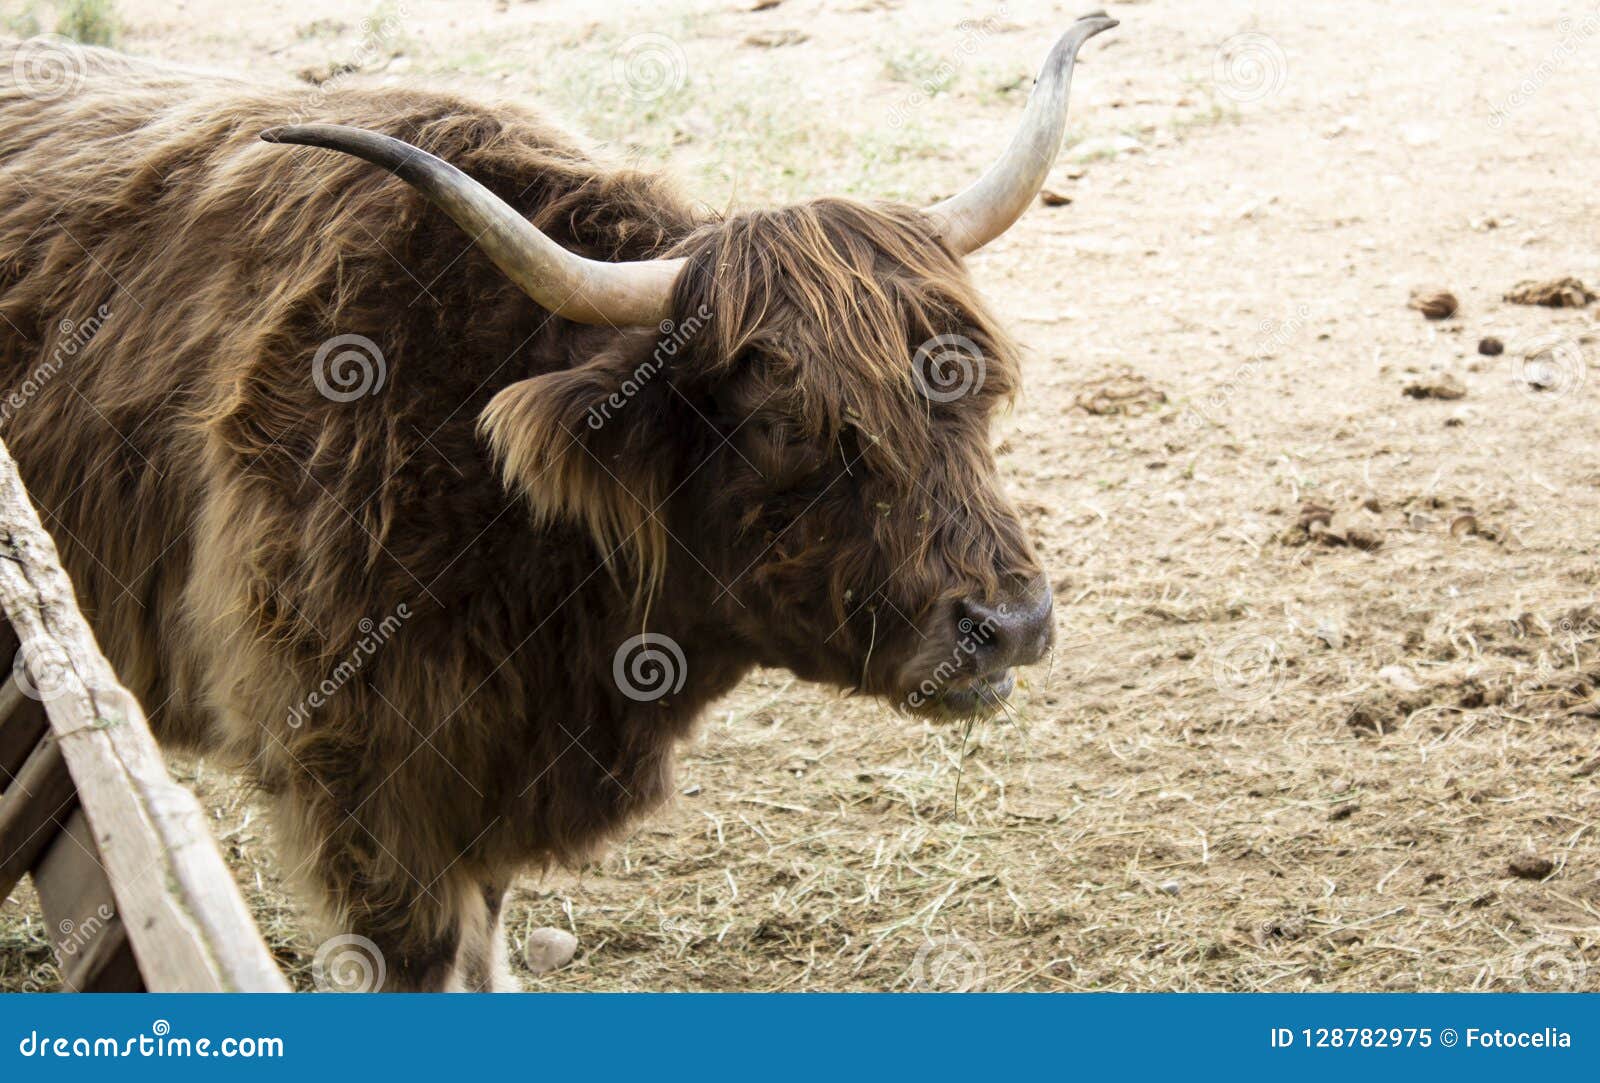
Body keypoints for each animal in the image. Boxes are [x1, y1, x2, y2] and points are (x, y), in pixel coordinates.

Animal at [0, 13, 1116, 990]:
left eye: (973, 385)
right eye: (787, 424)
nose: (1010, 622)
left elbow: (484, 934)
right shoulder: (355, 780)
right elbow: (419, 957)